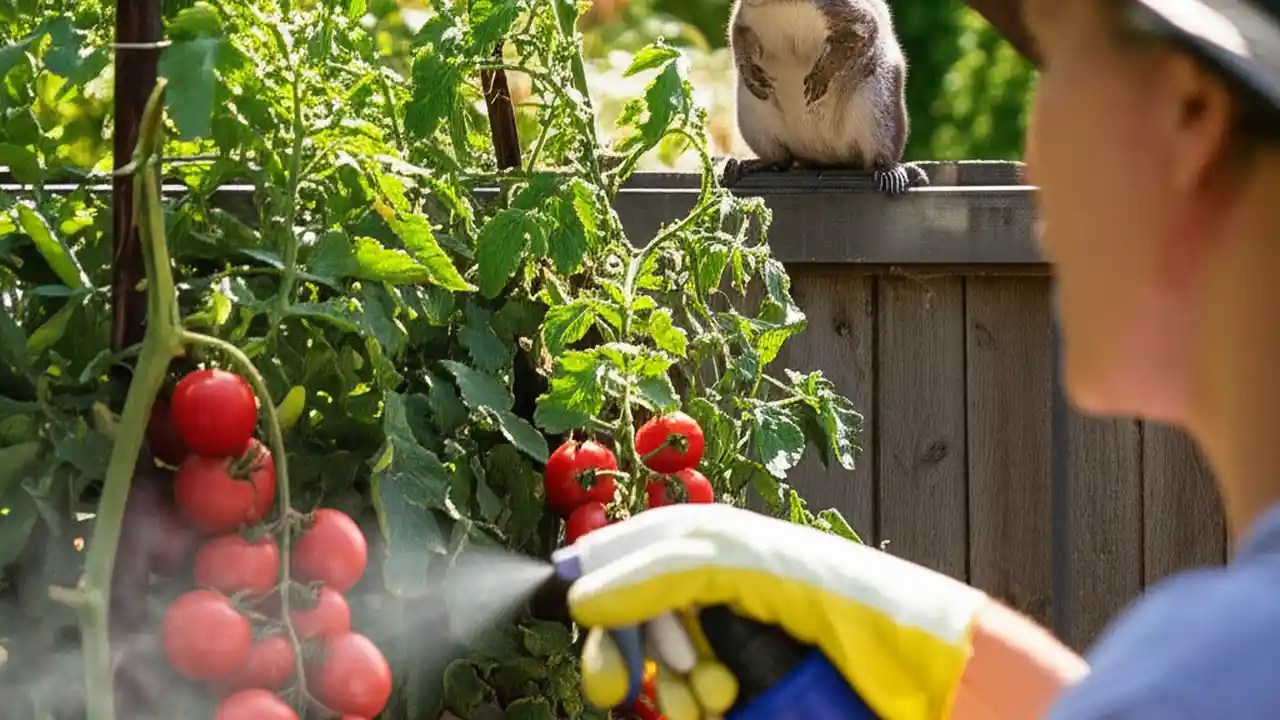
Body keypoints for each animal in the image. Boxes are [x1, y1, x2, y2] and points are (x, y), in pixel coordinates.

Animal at [725, 0, 929, 196]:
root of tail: (828, 155)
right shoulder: (744, 17)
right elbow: (737, 37)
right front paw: (750, 75)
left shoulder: (840, 9)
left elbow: (863, 30)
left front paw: (821, 74)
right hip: (753, 117)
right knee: (782, 160)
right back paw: (753, 165)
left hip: (879, 106)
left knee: (879, 152)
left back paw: (889, 171)